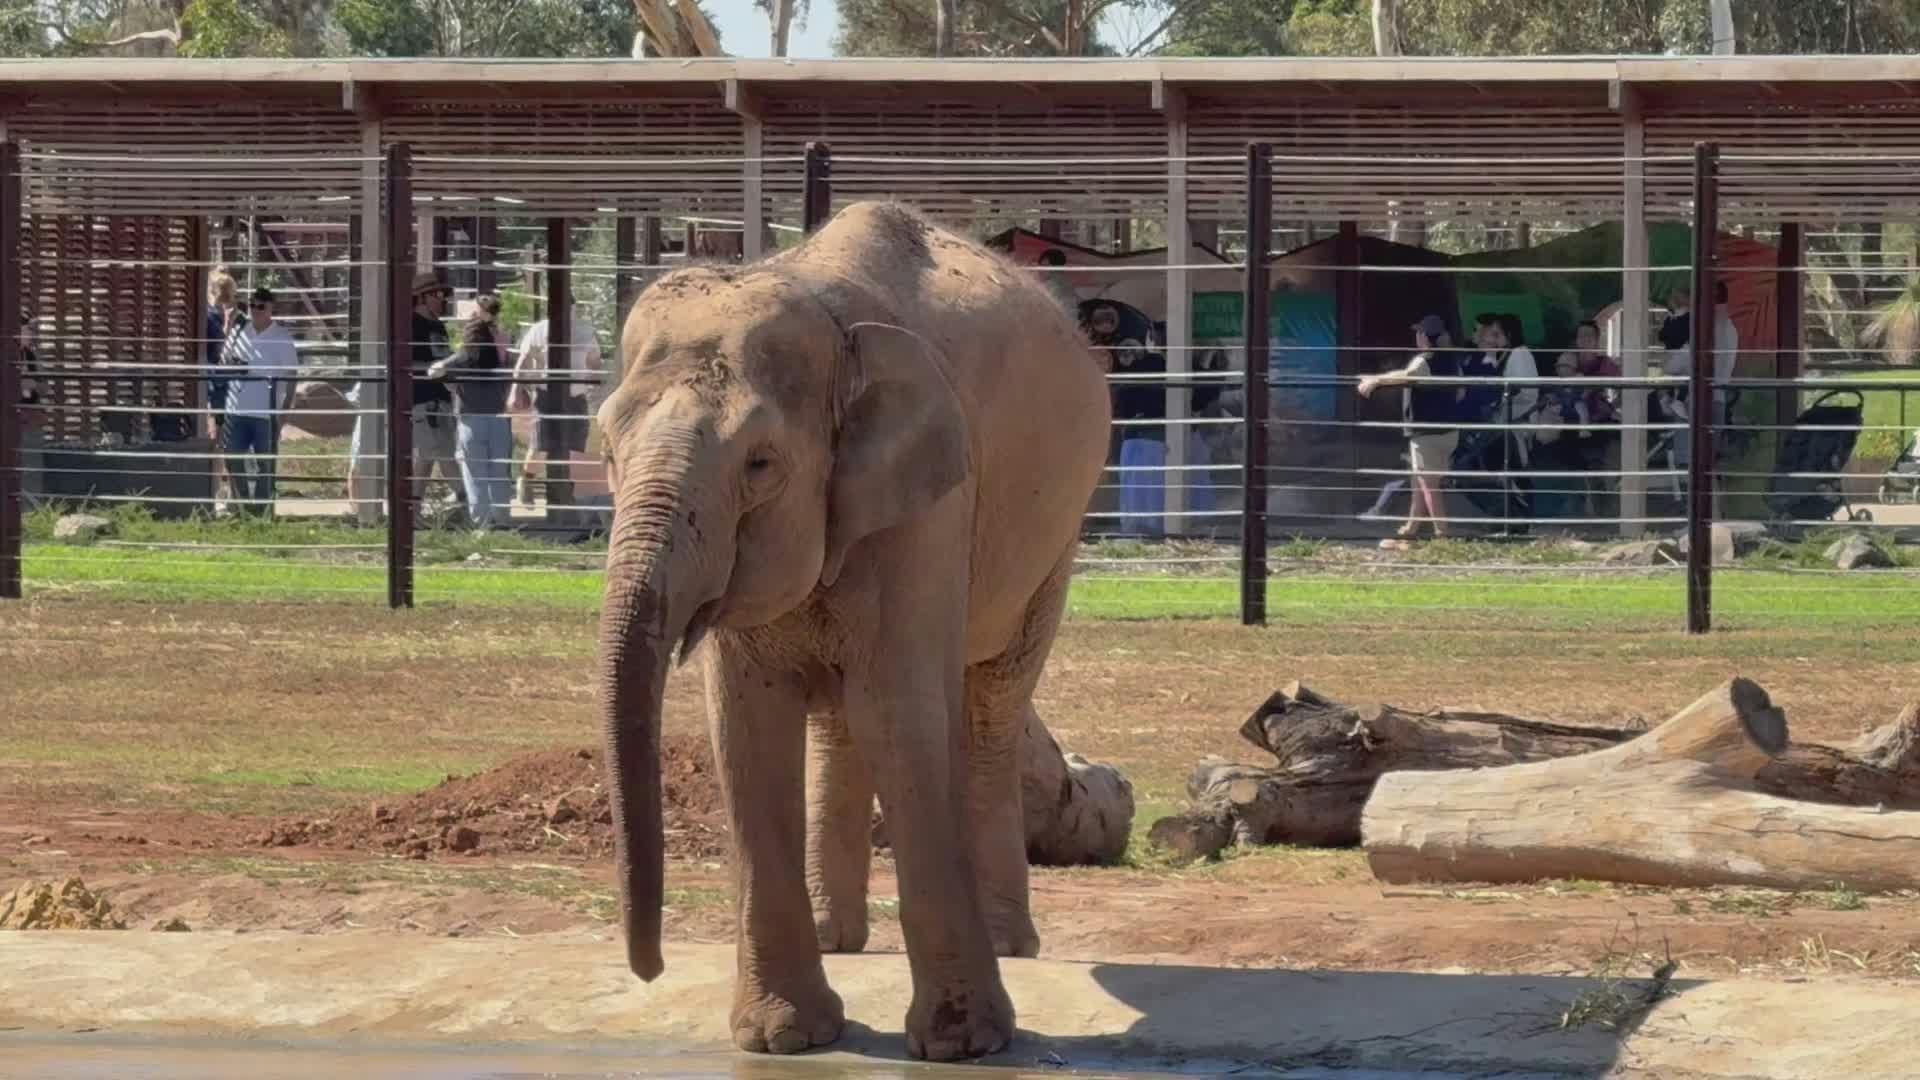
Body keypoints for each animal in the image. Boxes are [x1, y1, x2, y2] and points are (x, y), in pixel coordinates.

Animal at [594, 200, 1111, 1061]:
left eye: (760, 465)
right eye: (604, 447)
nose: (648, 968)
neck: (822, 309)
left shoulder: (932, 503)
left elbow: (900, 713)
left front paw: (964, 1046)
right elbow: (747, 726)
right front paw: (782, 1039)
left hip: (1060, 533)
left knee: (990, 708)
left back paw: (1010, 942)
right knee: (843, 723)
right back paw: (841, 938)